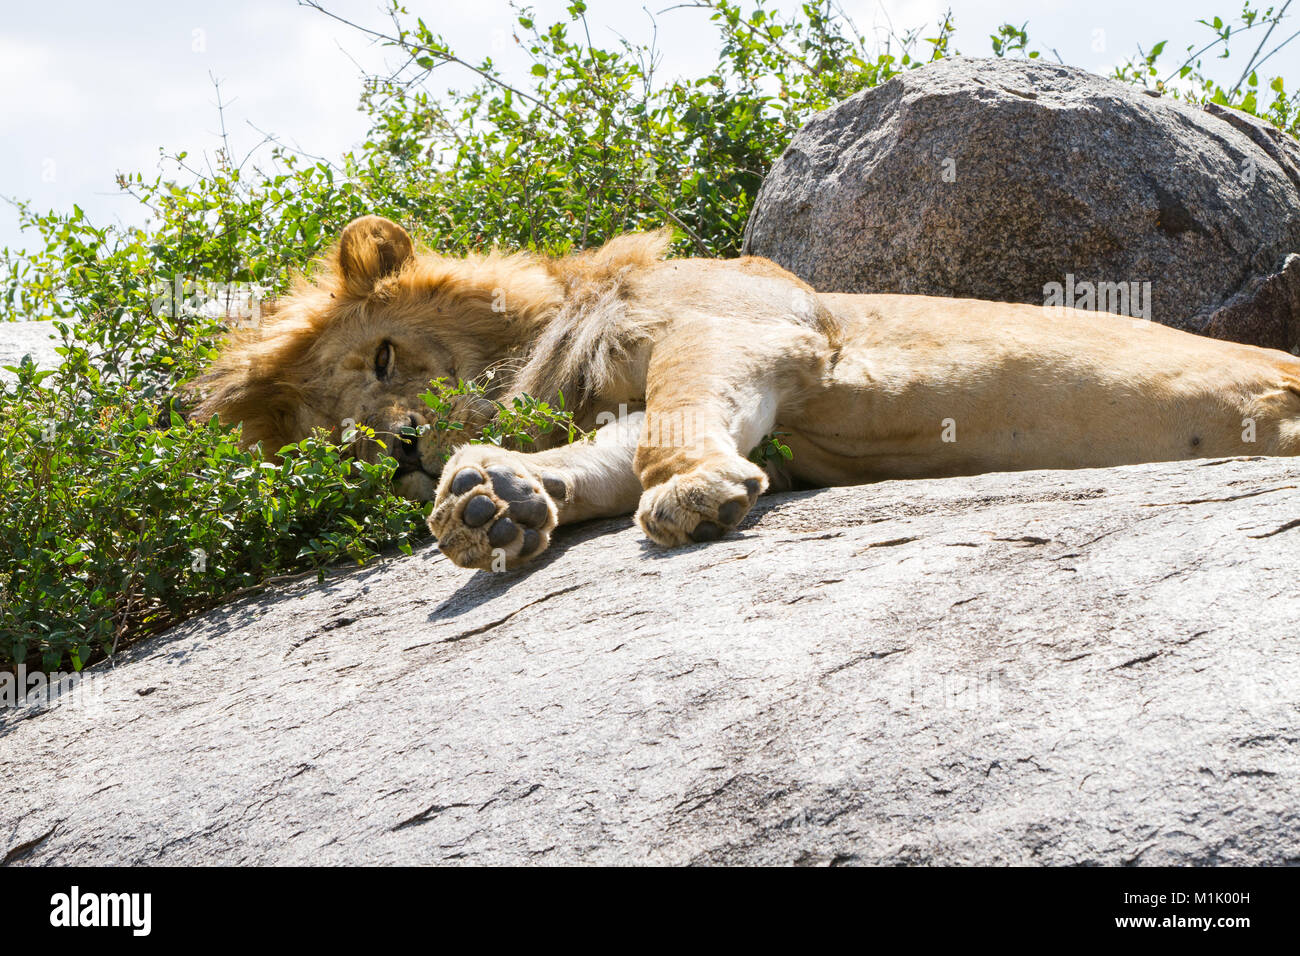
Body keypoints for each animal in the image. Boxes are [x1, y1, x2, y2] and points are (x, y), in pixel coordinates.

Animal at [190, 215, 1300, 571]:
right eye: (331, 449)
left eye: (380, 360)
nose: (391, 450)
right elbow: (605, 453)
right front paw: (491, 502)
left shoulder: (744, 323)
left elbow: (668, 429)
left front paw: (688, 493)